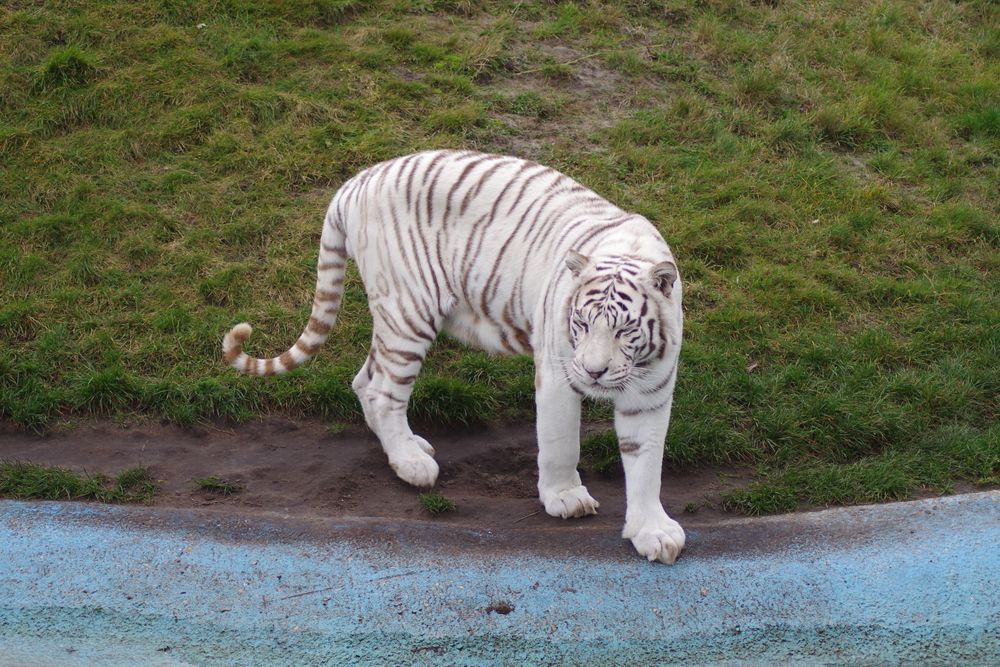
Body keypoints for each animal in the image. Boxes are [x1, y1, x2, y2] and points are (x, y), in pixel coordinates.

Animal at [222, 149, 685, 564]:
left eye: (624, 330)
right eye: (583, 323)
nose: (594, 371)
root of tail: (356, 181)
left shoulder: (651, 391)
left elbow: (646, 463)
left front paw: (653, 532)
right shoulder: (558, 374)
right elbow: (560, 443)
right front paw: (565, 498)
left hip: (393, 318)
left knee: (365, 379)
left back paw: (405, 445)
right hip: (409, 312)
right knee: (383, 393)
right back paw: (411, 464)